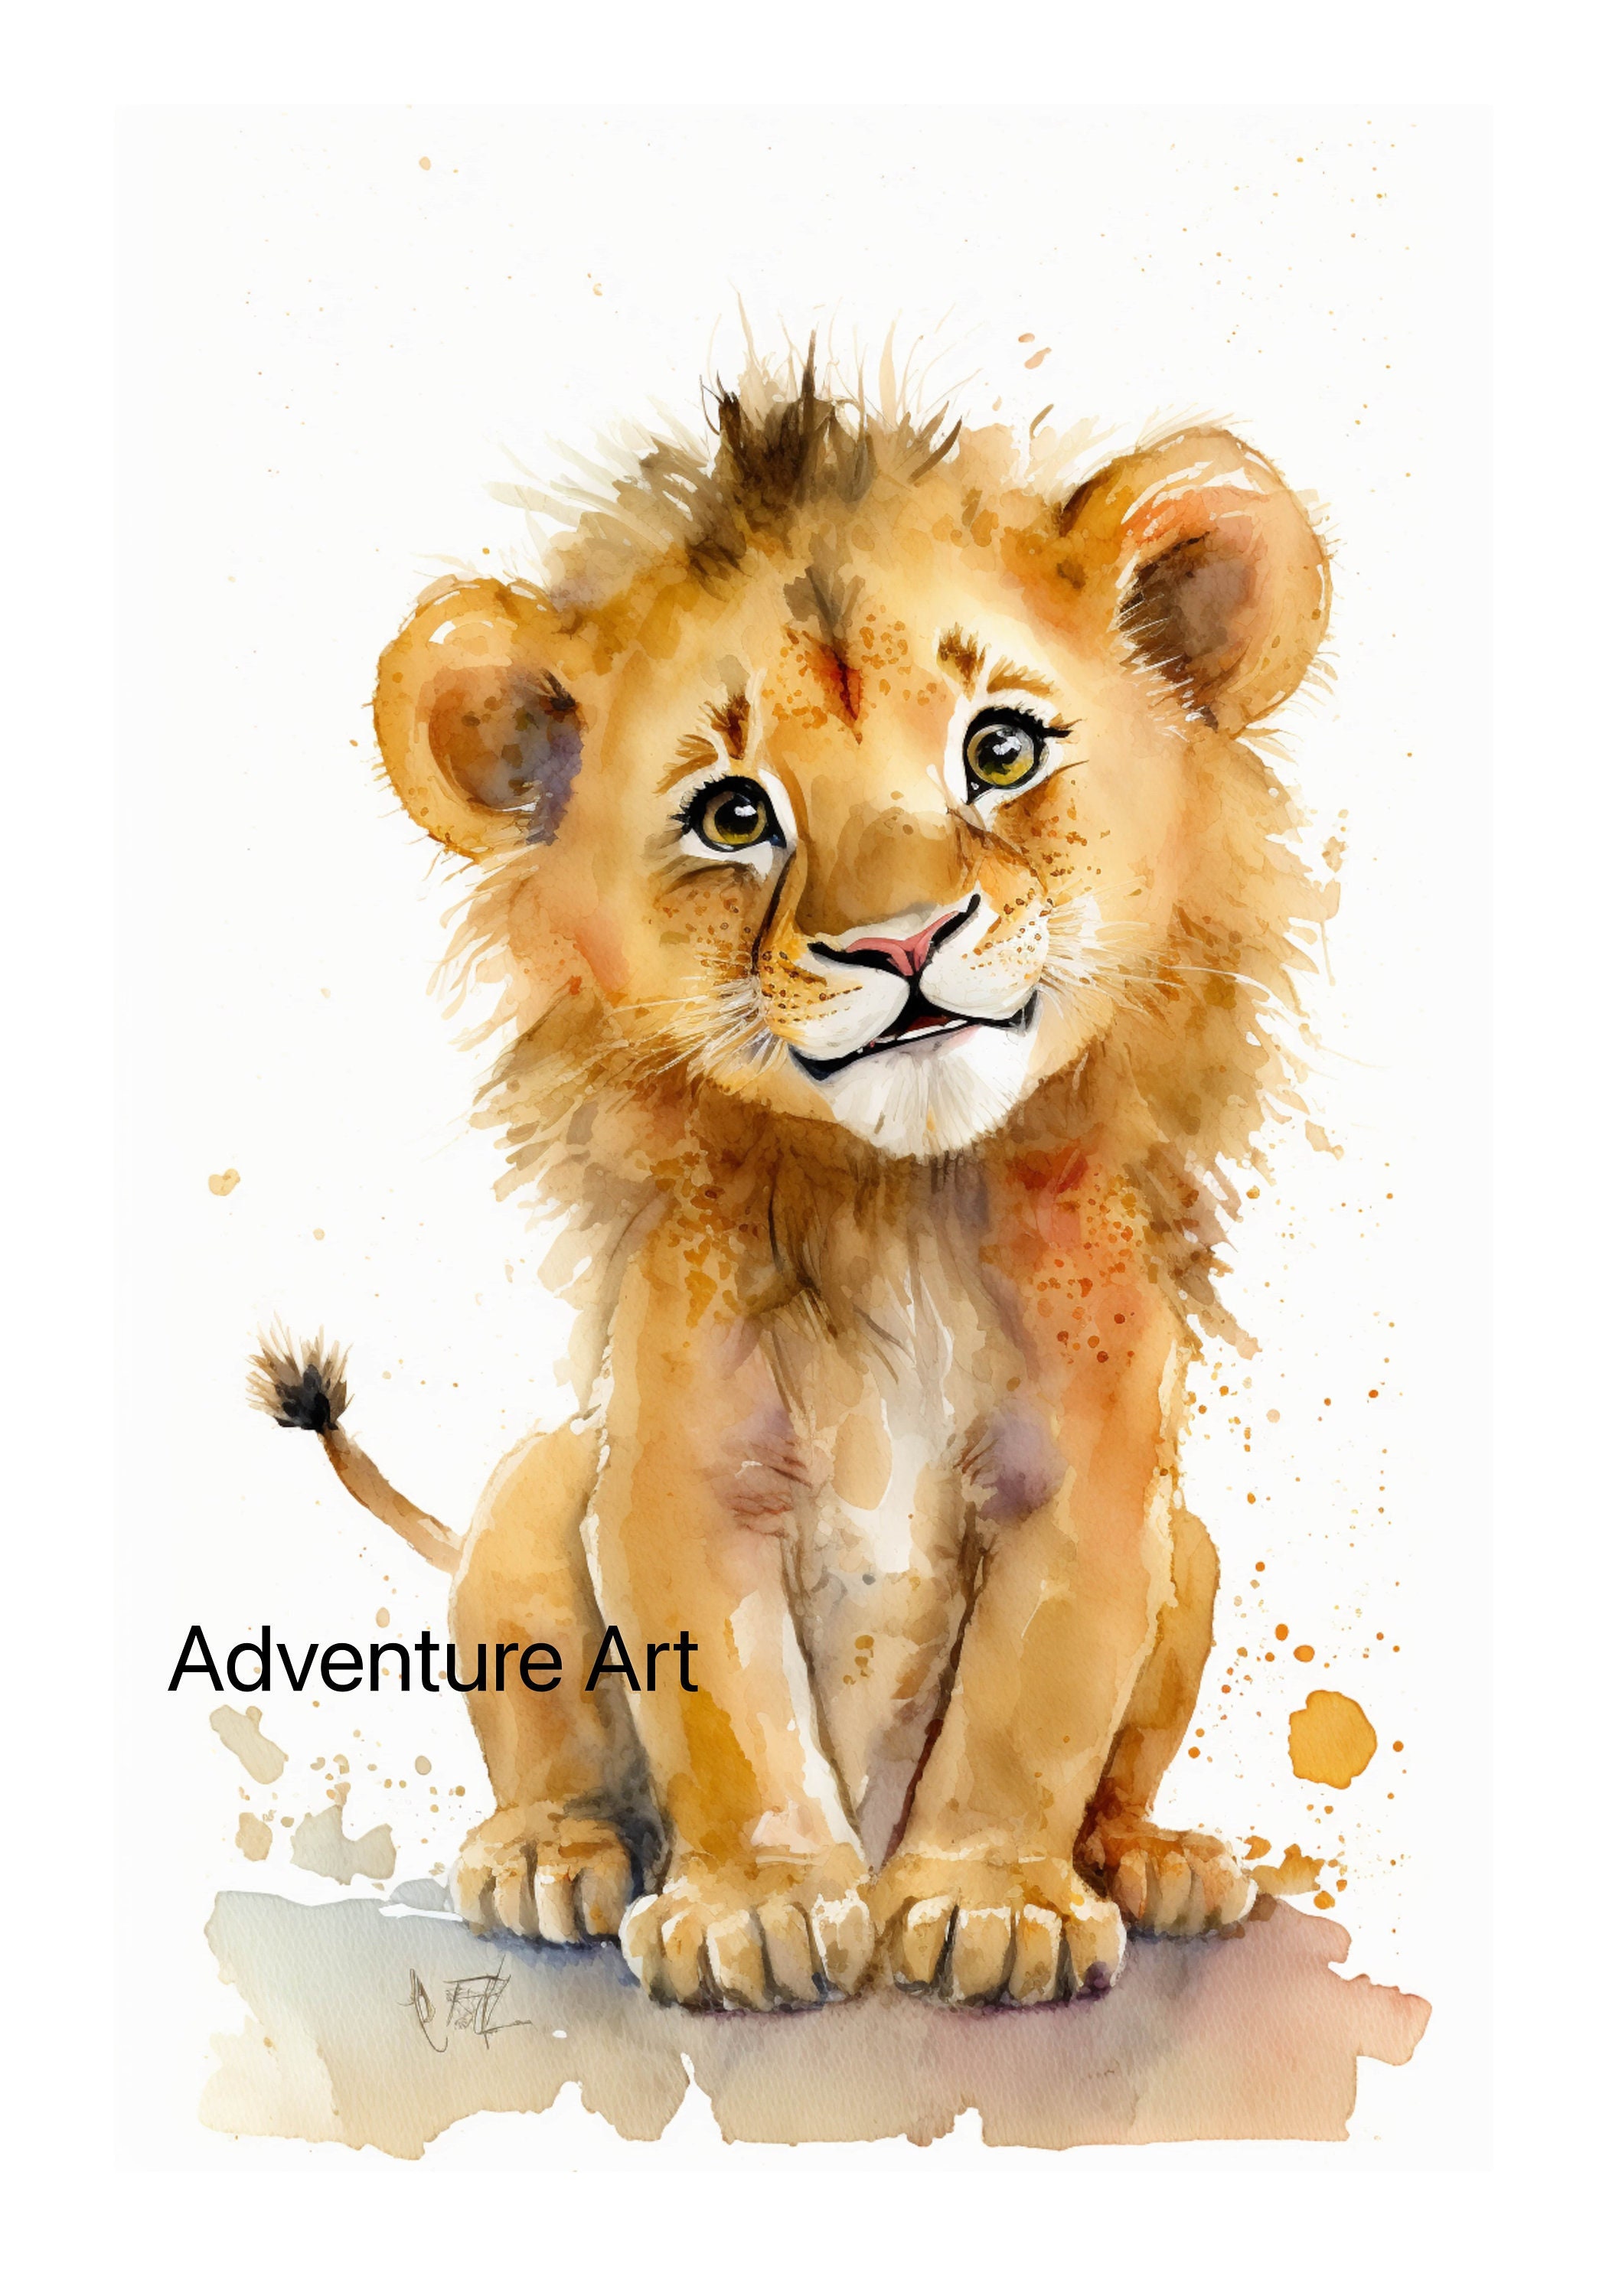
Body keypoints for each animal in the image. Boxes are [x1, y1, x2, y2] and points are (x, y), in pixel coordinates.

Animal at [252, 347, 1332, 2012]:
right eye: (733, 814)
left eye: (1000, 750)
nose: (899, 942)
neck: (902, 1203)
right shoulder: (675, 1464)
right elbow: (722, 1699)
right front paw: (753, 1911)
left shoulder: (1092, 1477)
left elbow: (1033, 1702)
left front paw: (988, 1906)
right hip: (531, 1496)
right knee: (552, 1738)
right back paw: (548, 1858)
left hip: (1197, 1553)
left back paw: (1155, 1864)